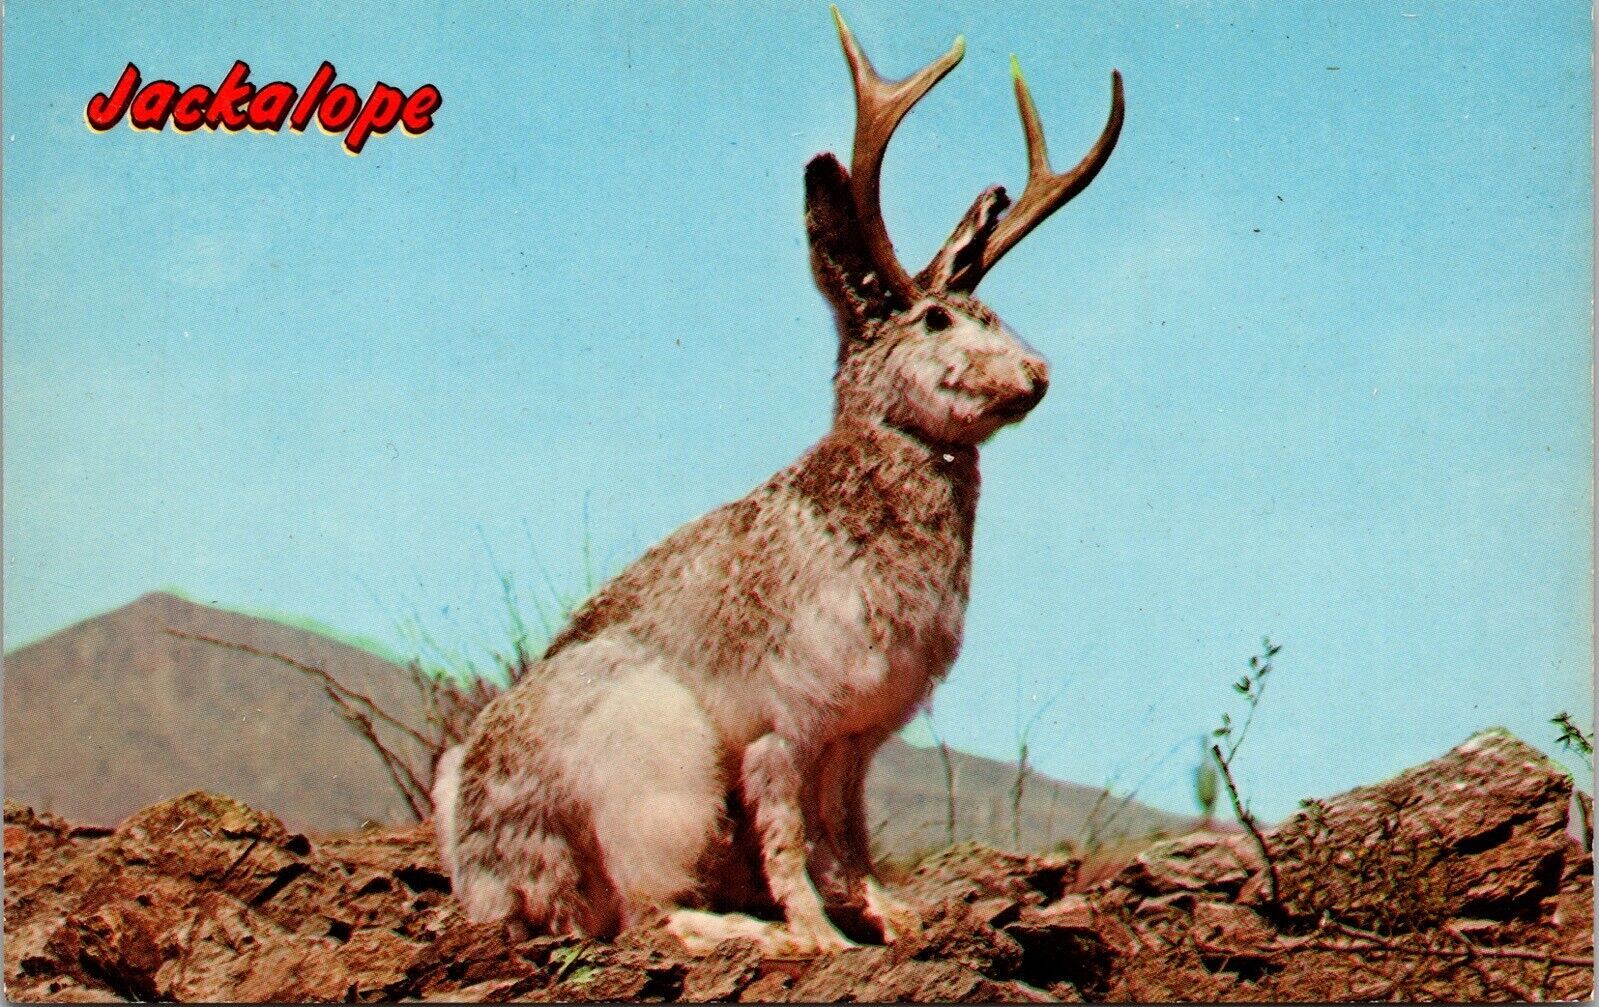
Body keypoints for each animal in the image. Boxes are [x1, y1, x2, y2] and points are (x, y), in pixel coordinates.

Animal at [433, 9, 1123, 956]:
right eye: (935, 319)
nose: (1037, 375)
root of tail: (492, 871)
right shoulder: (784, 730)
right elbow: (789, 835)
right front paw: (823, 936)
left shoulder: (855, 740)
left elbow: (849, 835)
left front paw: (895, 917)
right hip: (659, 768)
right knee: (646, 913)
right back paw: (759, 934)